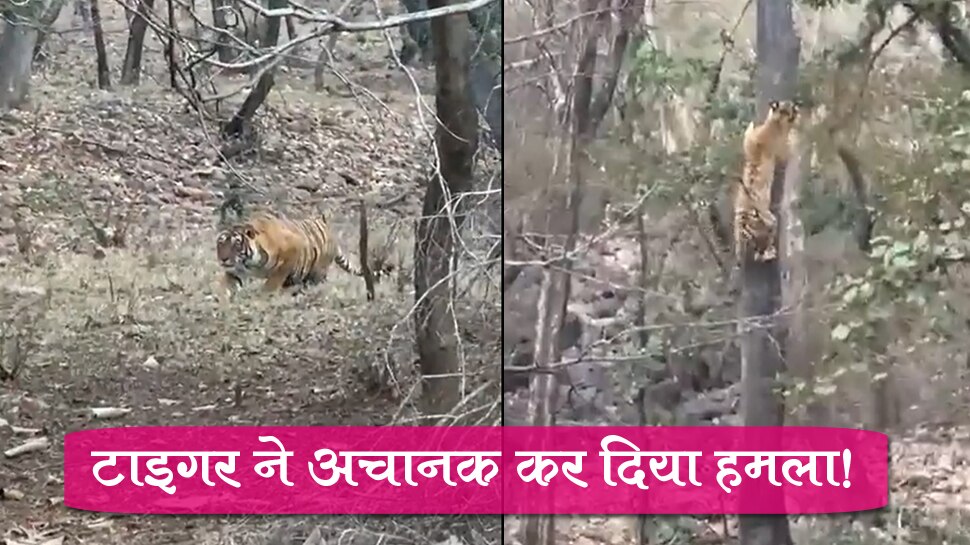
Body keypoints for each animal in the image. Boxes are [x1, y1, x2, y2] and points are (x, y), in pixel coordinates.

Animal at [215, 211, 393, 300]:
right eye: (220, 243)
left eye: (236, 244)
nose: (223, 259)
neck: (249, 262)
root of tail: (330, 231)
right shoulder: (235, 271)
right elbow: (226, 286)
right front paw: (223, 303)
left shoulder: (291, 250)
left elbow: (273, 281)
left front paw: (263, 297)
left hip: (316, 271)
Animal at [734, 99, 800, 263]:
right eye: (788, 106)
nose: (797, 106)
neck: (775, 122)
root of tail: (743, 223)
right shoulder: (783, 153)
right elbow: (790, 146)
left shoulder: (749, 141)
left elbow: (748, 133)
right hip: (770, 224)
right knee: (761, 253)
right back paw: (771, 253)